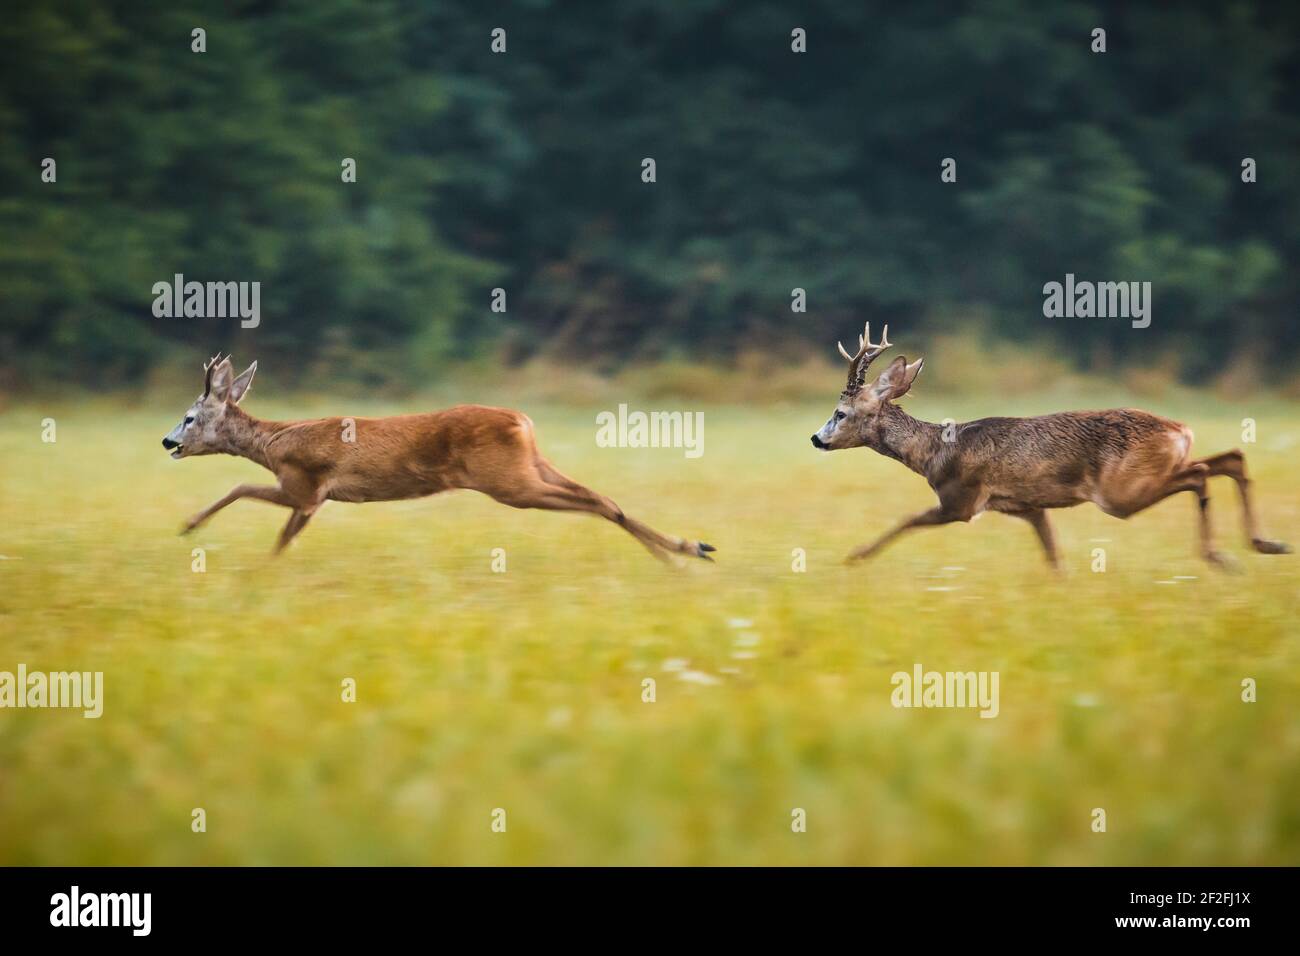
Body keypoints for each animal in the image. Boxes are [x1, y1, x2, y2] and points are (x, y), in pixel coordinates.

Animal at [162, 355, 716, 562]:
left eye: (189, 417)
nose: (167, 442)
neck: (274, 445)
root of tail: (523, 420)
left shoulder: (304, 486)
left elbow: (239, 489)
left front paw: (188, 526)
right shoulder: (312, 501)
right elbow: (283, 538)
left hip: (509, 483)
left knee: (596, 502)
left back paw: (676, 553)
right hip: (530, 467)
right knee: (600, 495)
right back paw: (690, 547)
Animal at [811, 324, 1291, 569]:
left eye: (841, 412)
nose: (816, 438)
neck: (933, 454)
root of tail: (1180, 428)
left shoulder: (961, 501)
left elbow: (906, 520)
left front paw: (855, 556)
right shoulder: (1026, 506)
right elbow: (1053, 554)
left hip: (1119, 492)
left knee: (1202, 472)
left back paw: (1221, 556)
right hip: (1151, 473)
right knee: (1231, 457)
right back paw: (1267, 544)